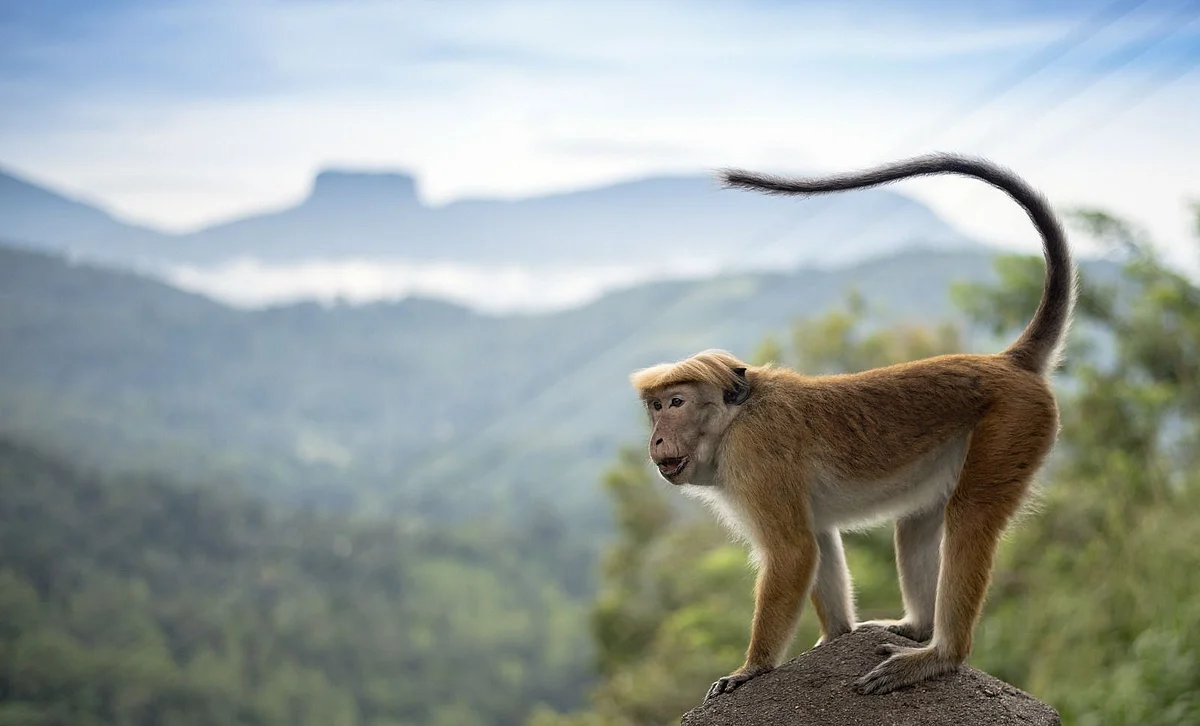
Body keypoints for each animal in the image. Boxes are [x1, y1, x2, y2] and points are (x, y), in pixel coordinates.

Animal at [629, 152, 1075, 700]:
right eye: (654, 407)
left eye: (676, 402)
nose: (657, 436)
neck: (738, 419)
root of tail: (1008, 363)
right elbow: (817, 540)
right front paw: (836, 635)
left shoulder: (755, 457)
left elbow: (793, 552)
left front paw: (751, 669)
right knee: (915, 525)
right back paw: (918, 628)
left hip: (1014, 422)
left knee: (969, 514)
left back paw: (940, 655)